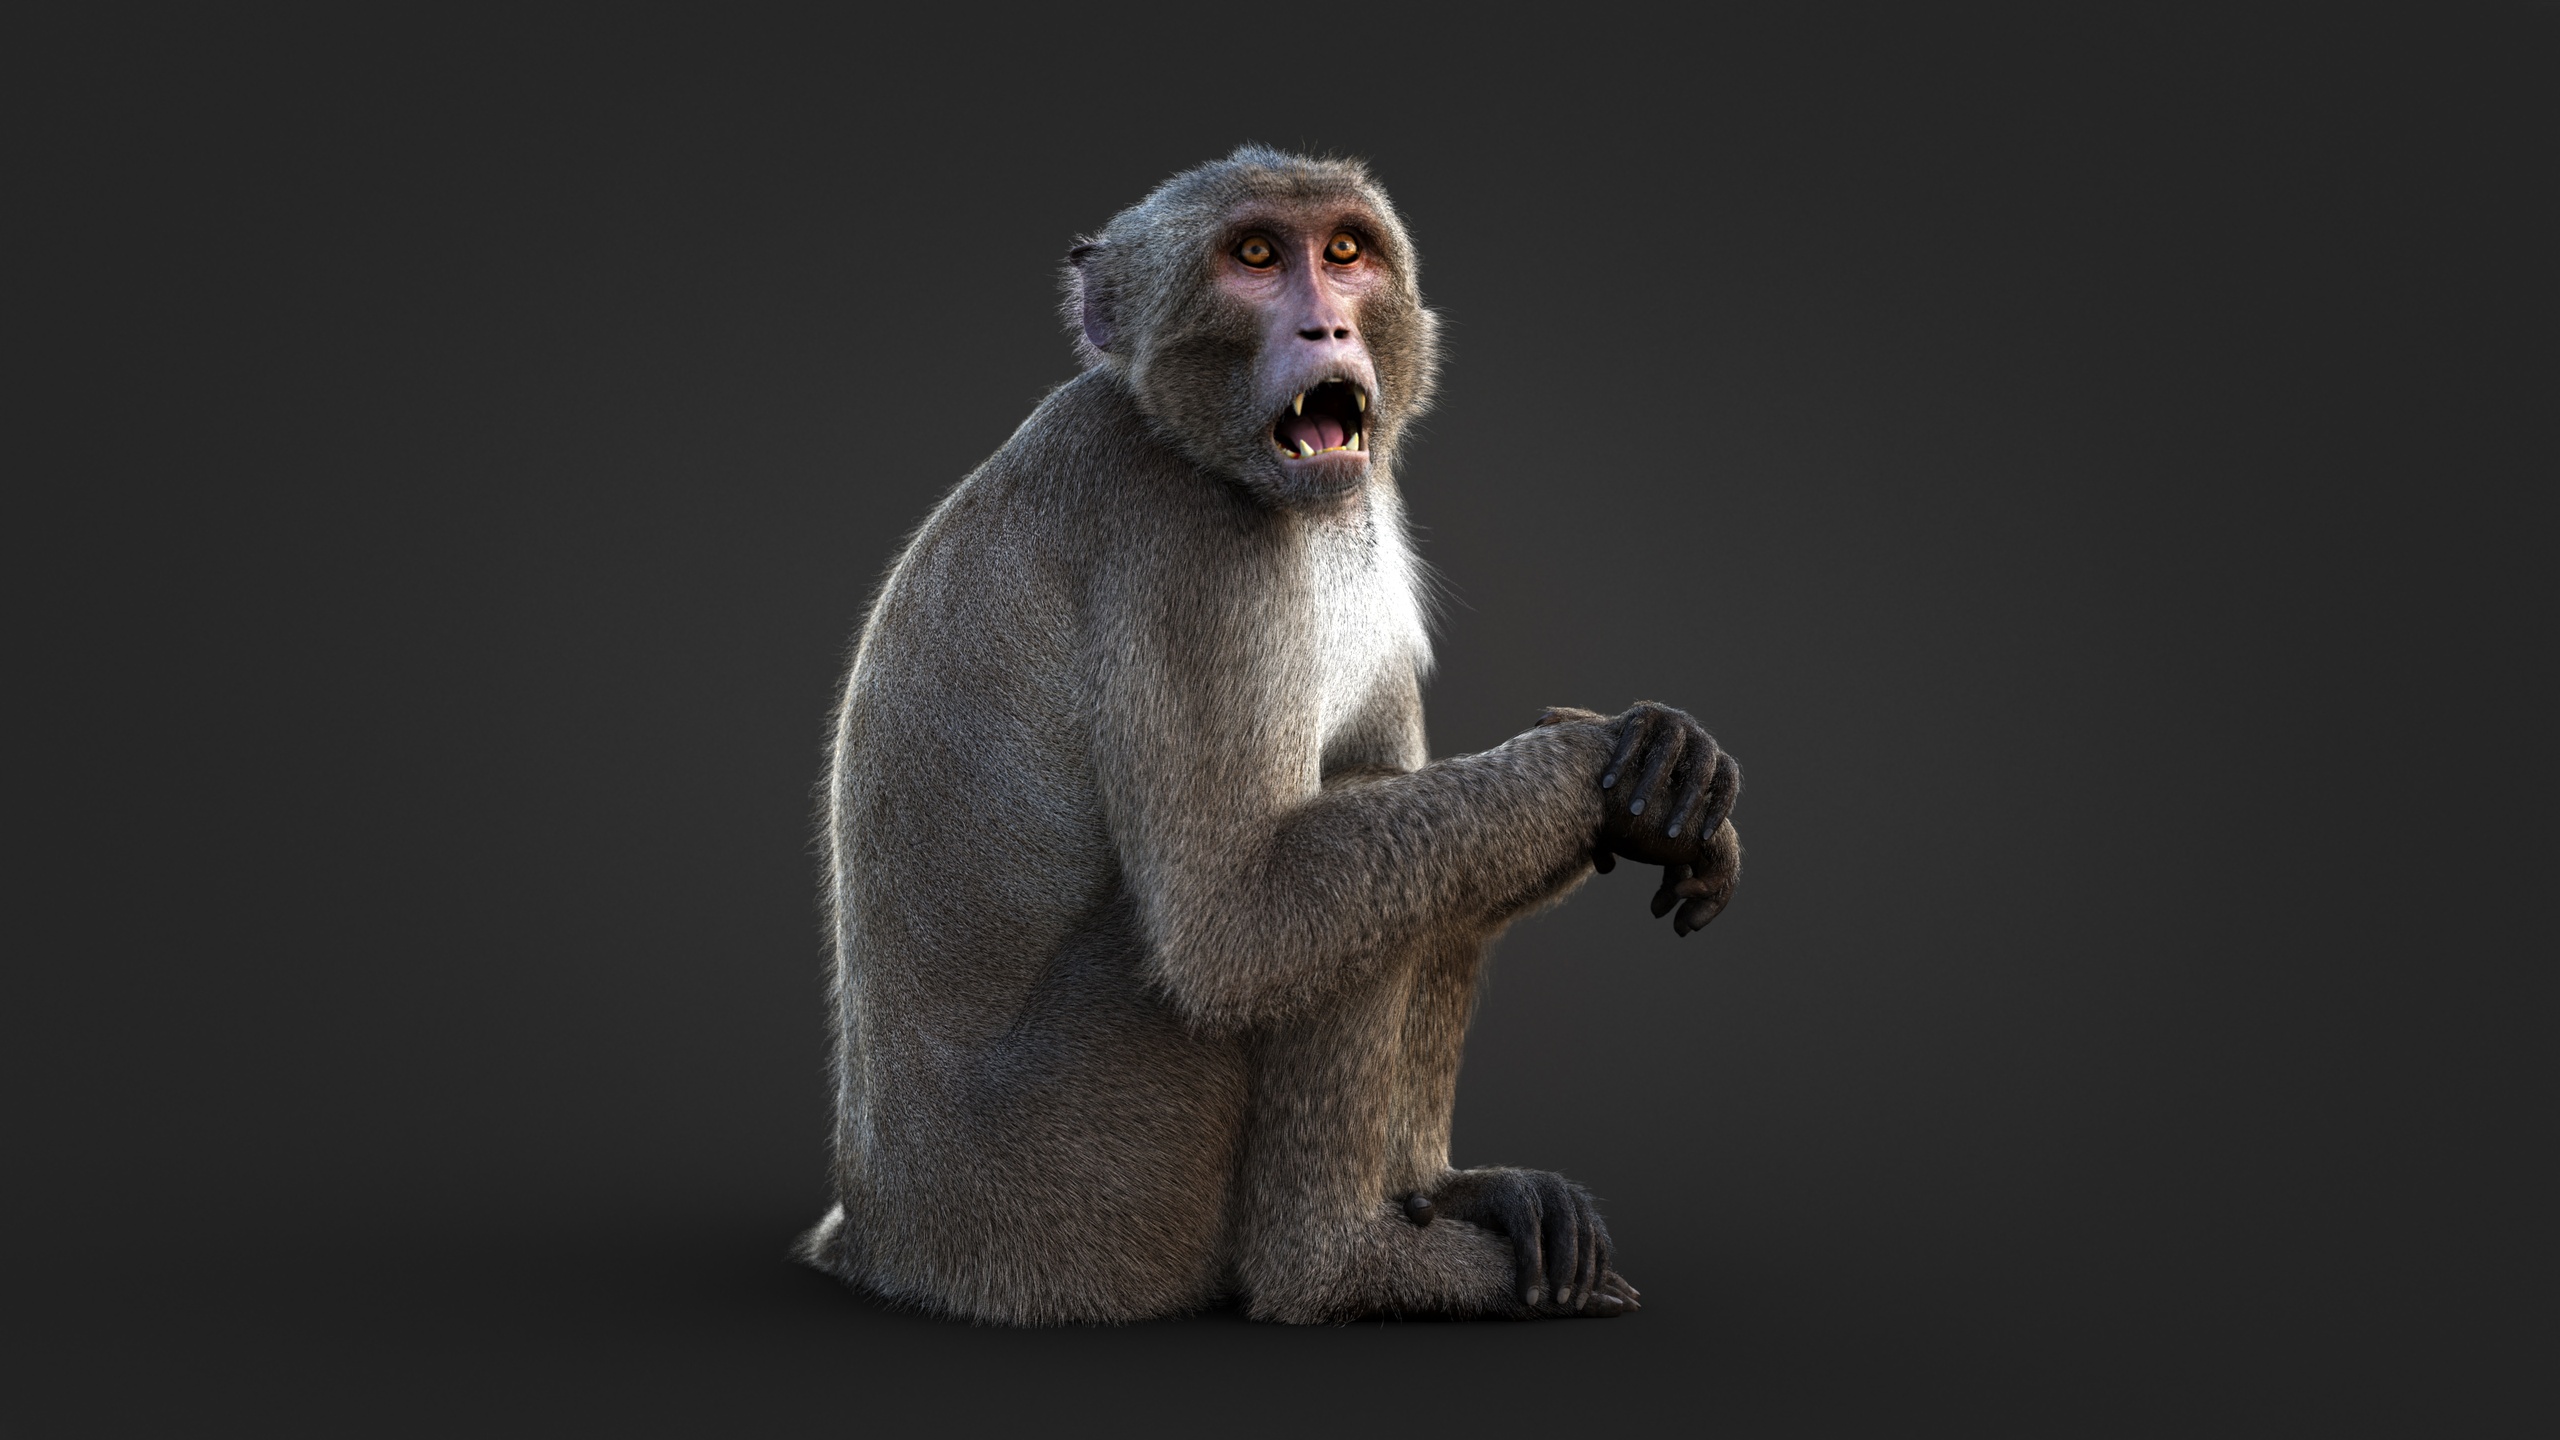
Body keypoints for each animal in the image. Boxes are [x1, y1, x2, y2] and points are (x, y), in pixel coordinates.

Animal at [797, 146, 1741, 1325]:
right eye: (1253, 257)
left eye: (1343, 252)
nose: (1325, 330)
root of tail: (881, 1239)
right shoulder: (1187, 542)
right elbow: (1237, 926)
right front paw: (1600, 767)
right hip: (1073, 1204)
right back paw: (1341, 1268)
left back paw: (1434, 1198)